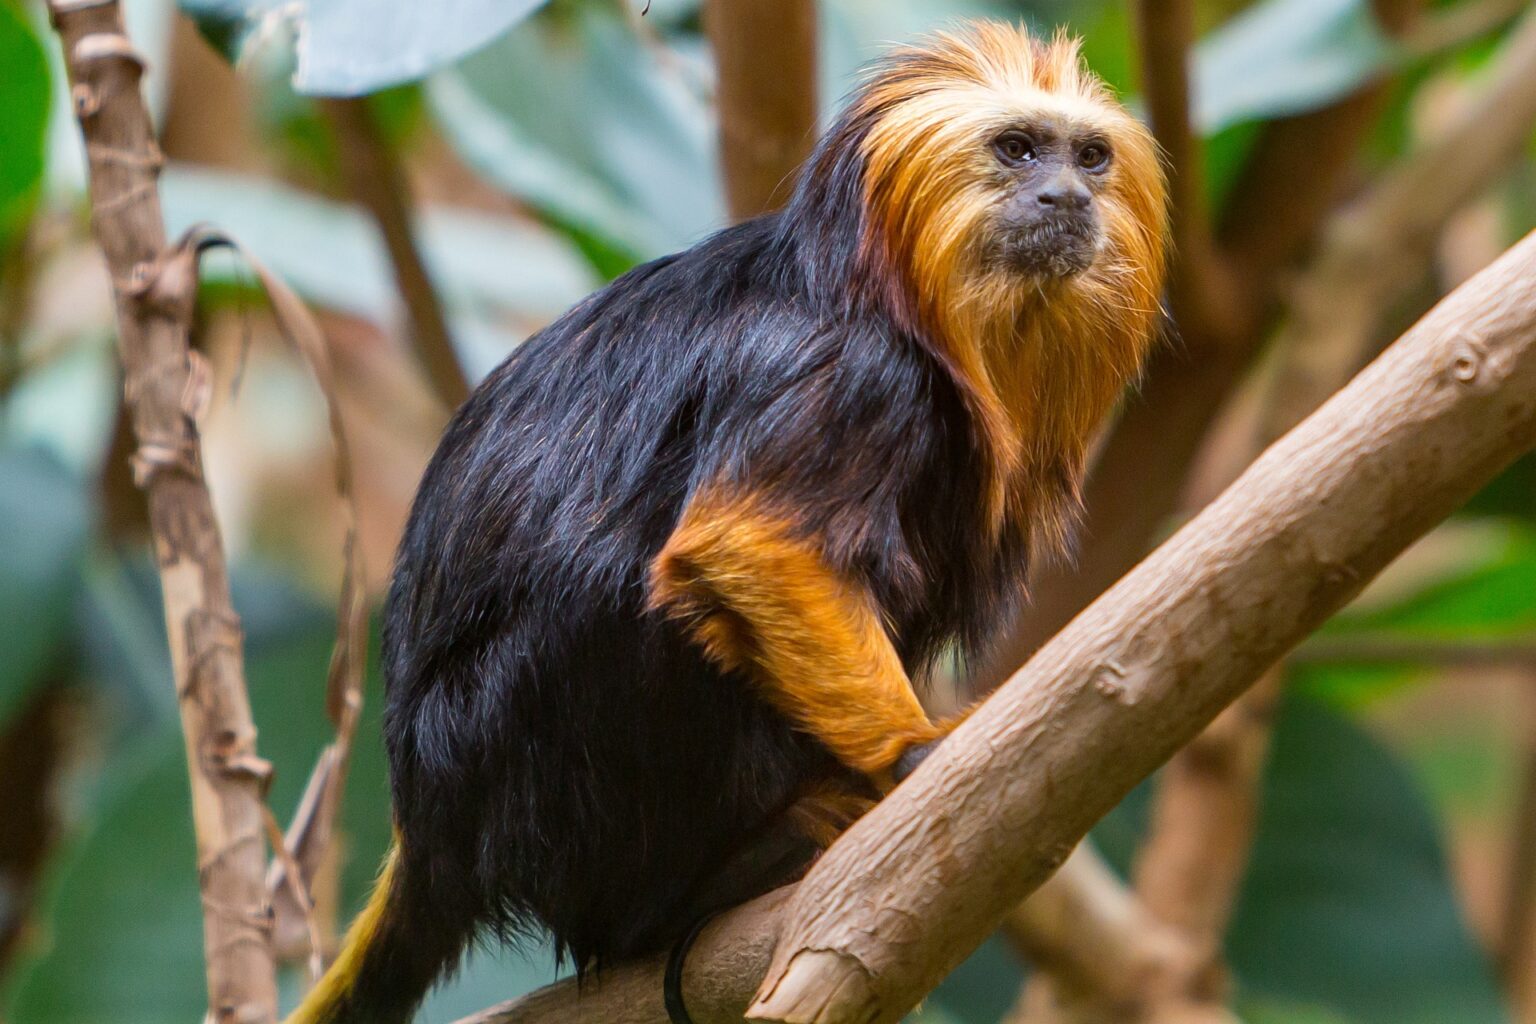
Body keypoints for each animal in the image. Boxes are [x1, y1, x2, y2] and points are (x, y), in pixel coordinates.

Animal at [287, 22, 1166, 1024]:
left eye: (1090, 158)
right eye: (1018, 149)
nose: (1067, 196)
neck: (902, 308)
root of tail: (426, 827)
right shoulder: (847, 374)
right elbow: (749, 545)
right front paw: (916, 757)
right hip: (512, 765)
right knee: (614, 583)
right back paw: (695, 886)